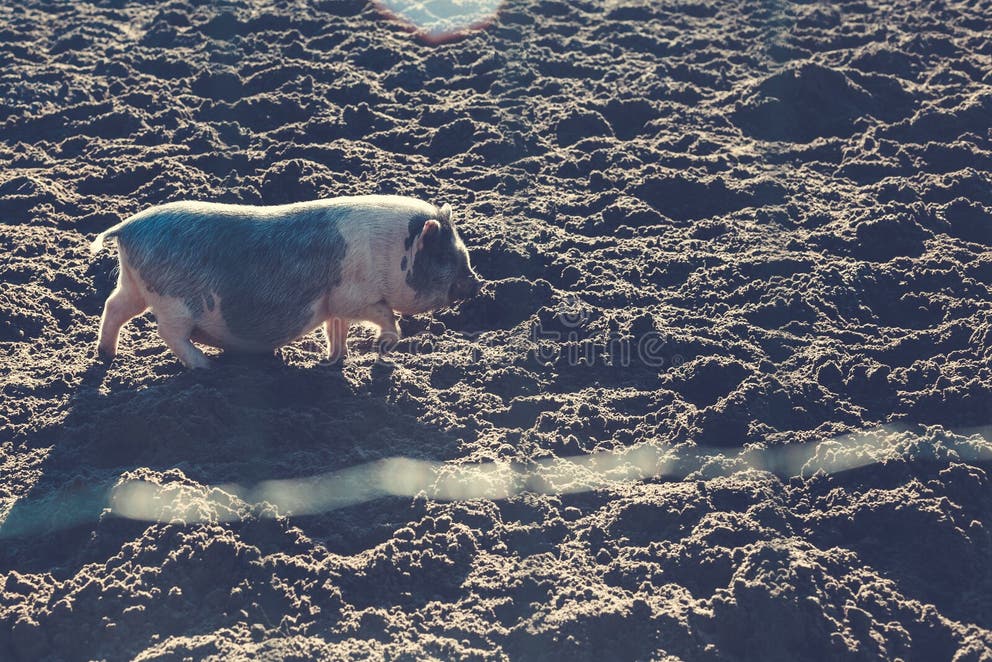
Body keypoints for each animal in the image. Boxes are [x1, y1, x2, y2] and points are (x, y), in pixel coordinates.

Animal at [89, 195, 482, 369]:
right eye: (444, 258)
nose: (476, 284)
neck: (390, 252)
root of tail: (129, 228)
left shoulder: (334, 304)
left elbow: (336, 329)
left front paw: (334, 361)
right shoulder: (354, 297)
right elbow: (386, 317)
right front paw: (383, 348)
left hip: (135, 284)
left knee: (113, 305)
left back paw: (106, 355)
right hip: (174, 301)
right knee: (167, 332)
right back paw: (205, 366)